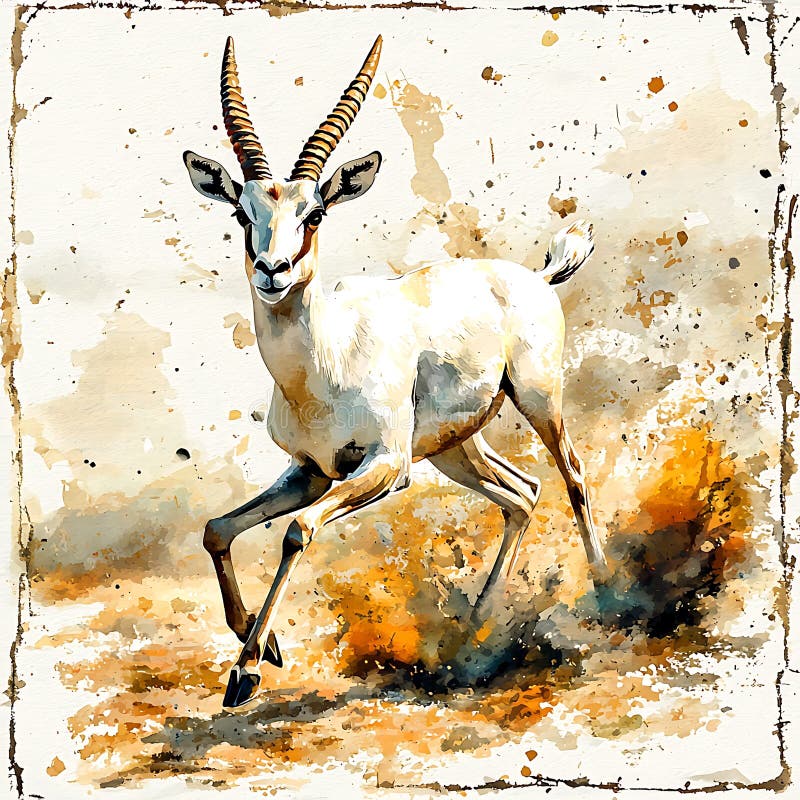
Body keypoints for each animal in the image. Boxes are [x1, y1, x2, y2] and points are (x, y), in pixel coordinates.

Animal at [183, 35, 608, 708]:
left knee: (572, 476)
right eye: (241, 214)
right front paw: (264, 647)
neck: (323, 365)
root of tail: (536, 276)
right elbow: (216, 529)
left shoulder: (385, 467)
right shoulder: (310, 471)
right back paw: (472, 630)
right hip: (455, 448)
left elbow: (296, 532)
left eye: (315, 213)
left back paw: (607, 596)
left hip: (538, 401)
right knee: (521, 494)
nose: (273, 271)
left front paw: (246, 671)